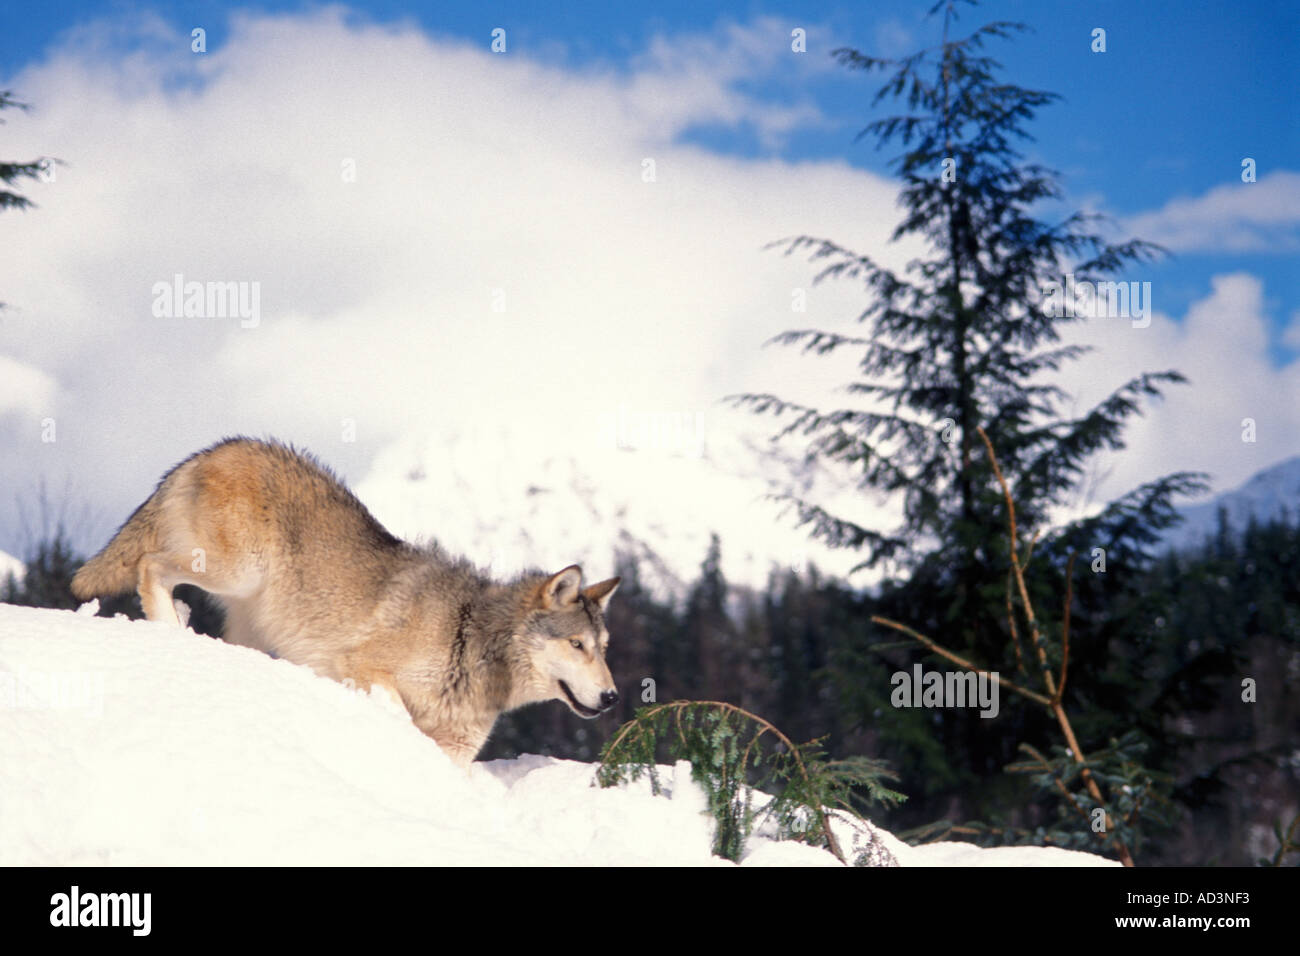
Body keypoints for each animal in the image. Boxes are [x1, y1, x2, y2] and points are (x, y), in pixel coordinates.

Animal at [70, 437, 621, 766]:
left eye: (604, 648)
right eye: (577, 645)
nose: (614, 697)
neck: (468, 640)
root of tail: (212, 449)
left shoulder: (456, 749)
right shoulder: (361, 666)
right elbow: (399, 716)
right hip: (236, 572)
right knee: (150, 566)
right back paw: (170, 628)